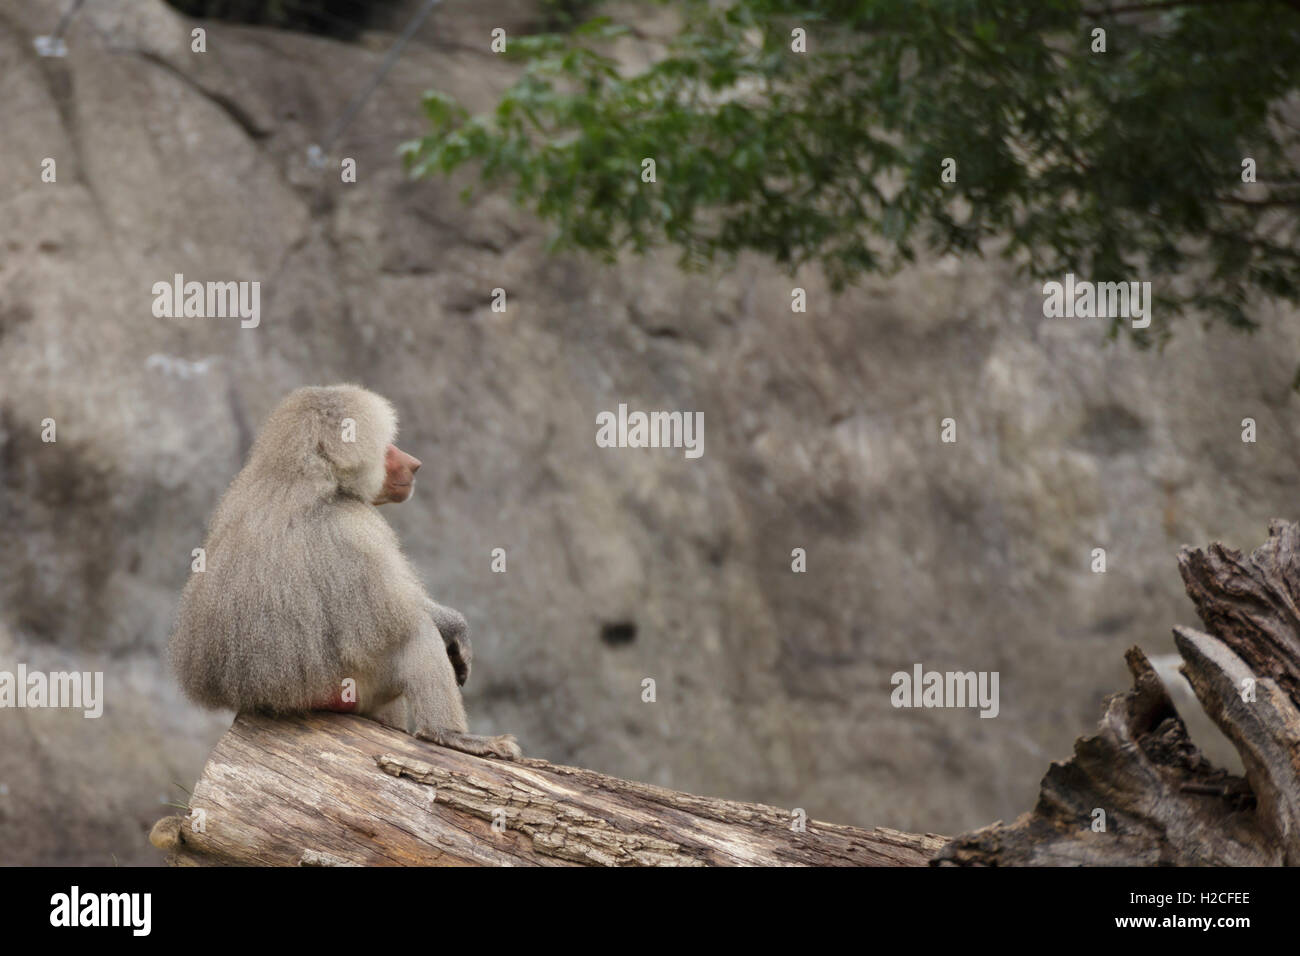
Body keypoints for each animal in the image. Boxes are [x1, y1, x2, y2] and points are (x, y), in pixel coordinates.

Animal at [168, 384, 521, 760]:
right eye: (386, 447)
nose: (415, 464)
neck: (306, 476)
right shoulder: (352, 528)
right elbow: (397, 608)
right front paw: (454, 624)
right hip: (346, 684)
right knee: (414, 632)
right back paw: (449, 735)